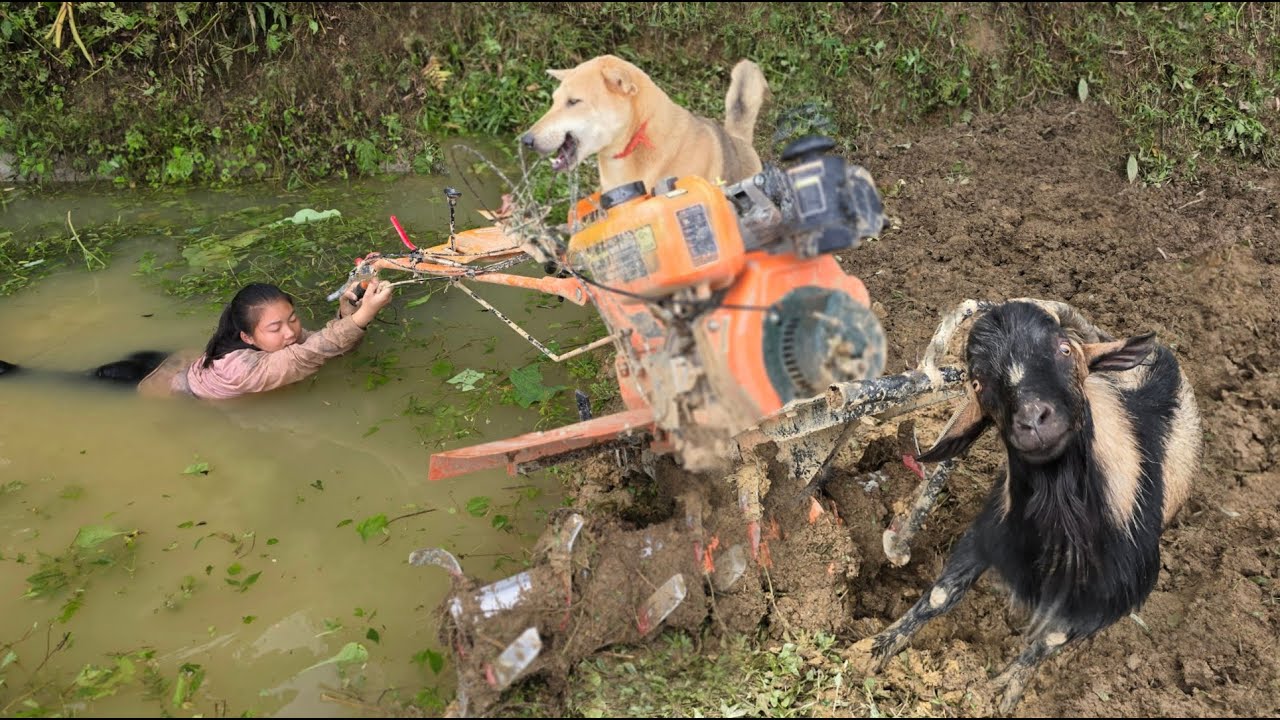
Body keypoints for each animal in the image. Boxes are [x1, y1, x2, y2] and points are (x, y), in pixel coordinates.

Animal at [869, 299, 1202, 714]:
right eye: (977, 382)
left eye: (1064, 350)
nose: (1032, 419)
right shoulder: (990, 529)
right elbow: (941, 594)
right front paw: (877, 648)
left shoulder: (1118, 590)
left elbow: (1053, 637)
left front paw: (1004, 690)